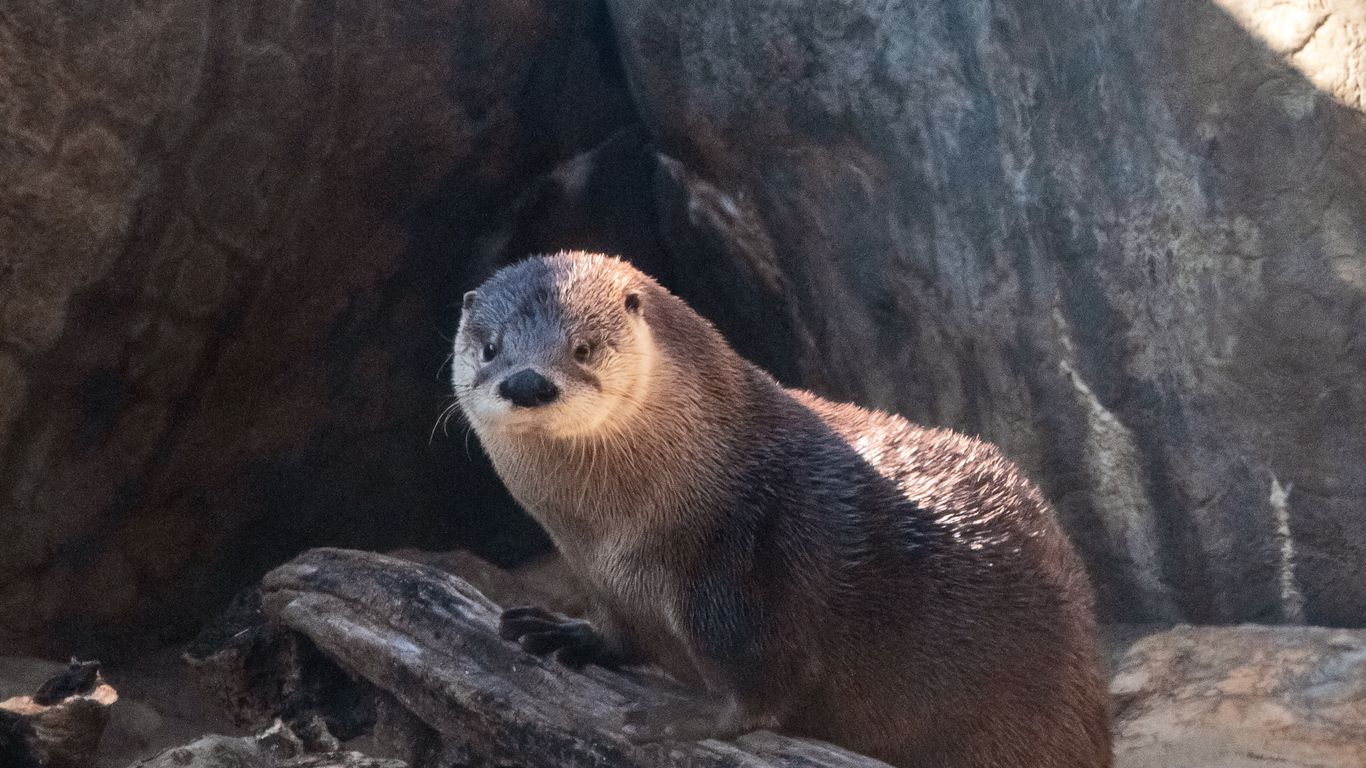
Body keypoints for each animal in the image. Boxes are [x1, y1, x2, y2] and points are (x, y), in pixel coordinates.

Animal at [451, 252, 1111, 768]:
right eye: (490, 348)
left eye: (583, 347)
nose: (527, 382)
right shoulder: (606, 582)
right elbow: (620, 631)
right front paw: (563, 632)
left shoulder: (747, 567)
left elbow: (760, 686)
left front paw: (675, 717)